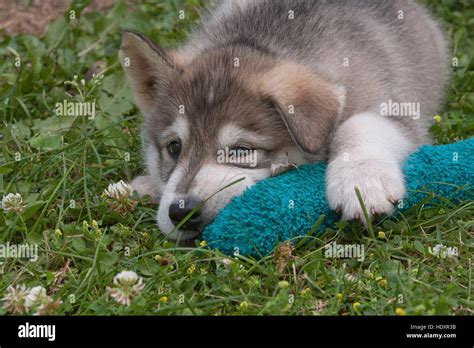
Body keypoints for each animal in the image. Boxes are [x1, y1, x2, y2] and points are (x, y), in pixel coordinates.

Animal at [120, 0, 450, 241]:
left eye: (241, 150)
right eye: (174, 147)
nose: (181, 211)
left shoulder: (397, 110)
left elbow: (357, 124)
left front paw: (361, 180)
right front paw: (147, 185)